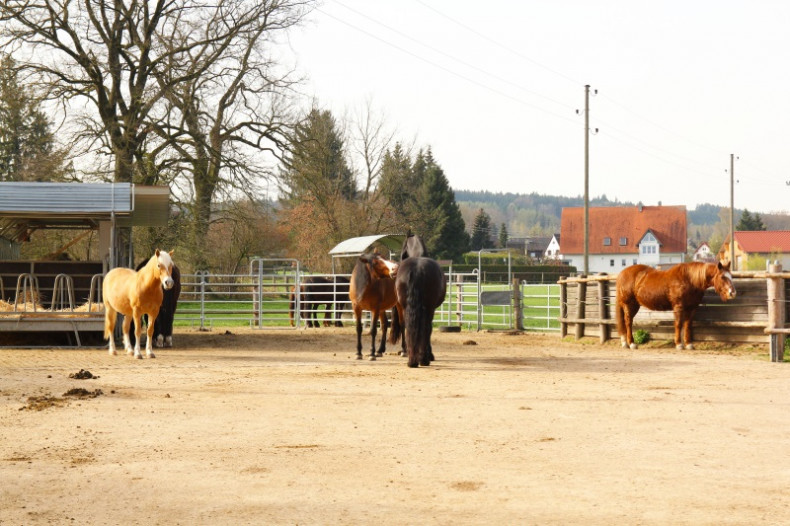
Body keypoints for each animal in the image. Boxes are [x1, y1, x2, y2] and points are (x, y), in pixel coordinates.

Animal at [389, 235, 446, 367]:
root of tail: (416, 269)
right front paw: (429, 354)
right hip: (426, 307)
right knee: (424, 327)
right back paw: (422, 358)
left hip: (405, 306)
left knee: (408, 324)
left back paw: (411, 356)